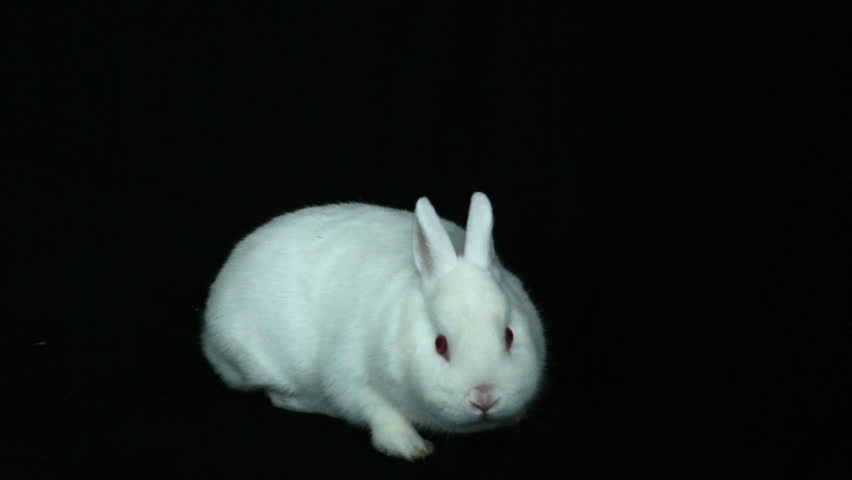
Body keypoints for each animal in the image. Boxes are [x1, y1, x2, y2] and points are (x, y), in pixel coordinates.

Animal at [201, 192, 546, 460]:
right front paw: (409, 447)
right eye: (440, 344)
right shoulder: (353, 378)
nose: (485, 397)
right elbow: (380, 413)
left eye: (509, 335)